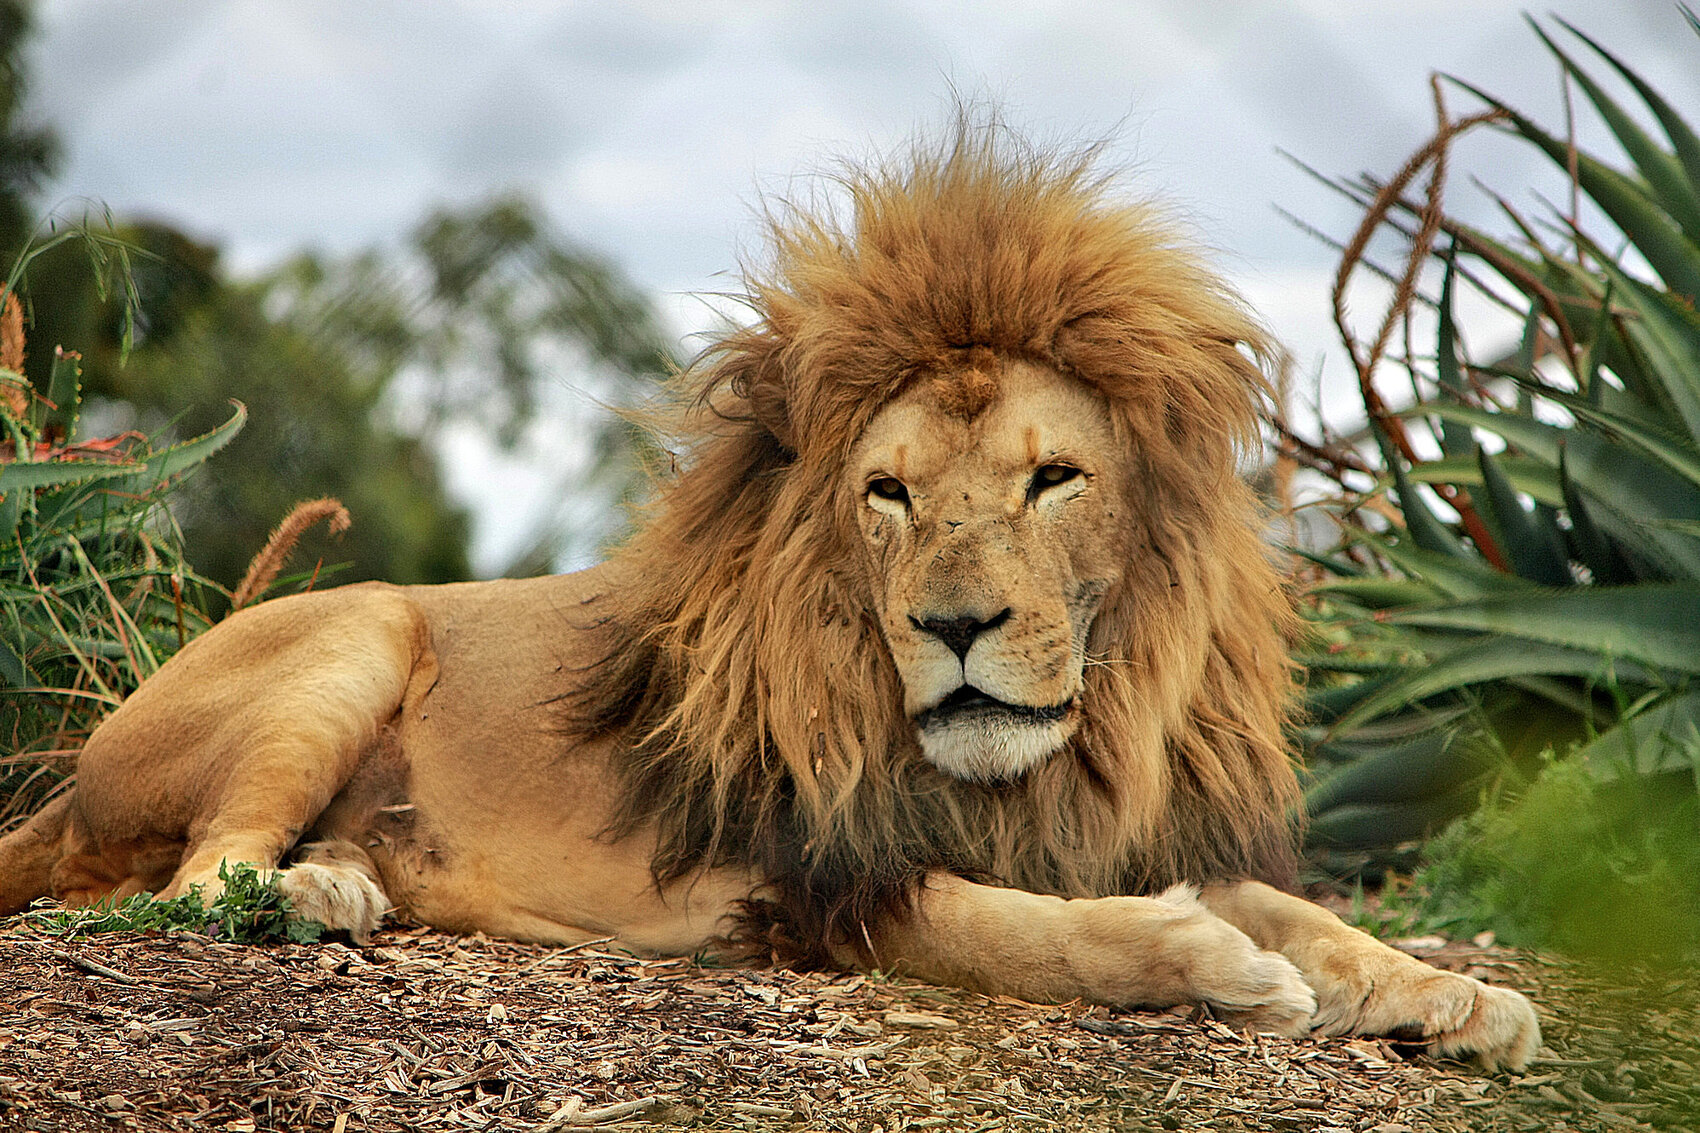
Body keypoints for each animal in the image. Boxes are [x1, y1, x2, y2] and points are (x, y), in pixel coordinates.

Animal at [0, 126, 1539, 1070]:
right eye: (889, 494)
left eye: (1052, 478)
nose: (955, 627)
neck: (1023, 772)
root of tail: (64, 788)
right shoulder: (810, 881)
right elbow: (1024, 930)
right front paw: (1216, 962)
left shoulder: (1091, 827)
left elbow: (1309, 914)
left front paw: (1459, 991)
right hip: (360, 626)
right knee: (184, 880)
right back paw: (310, 890)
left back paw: (356, 872)